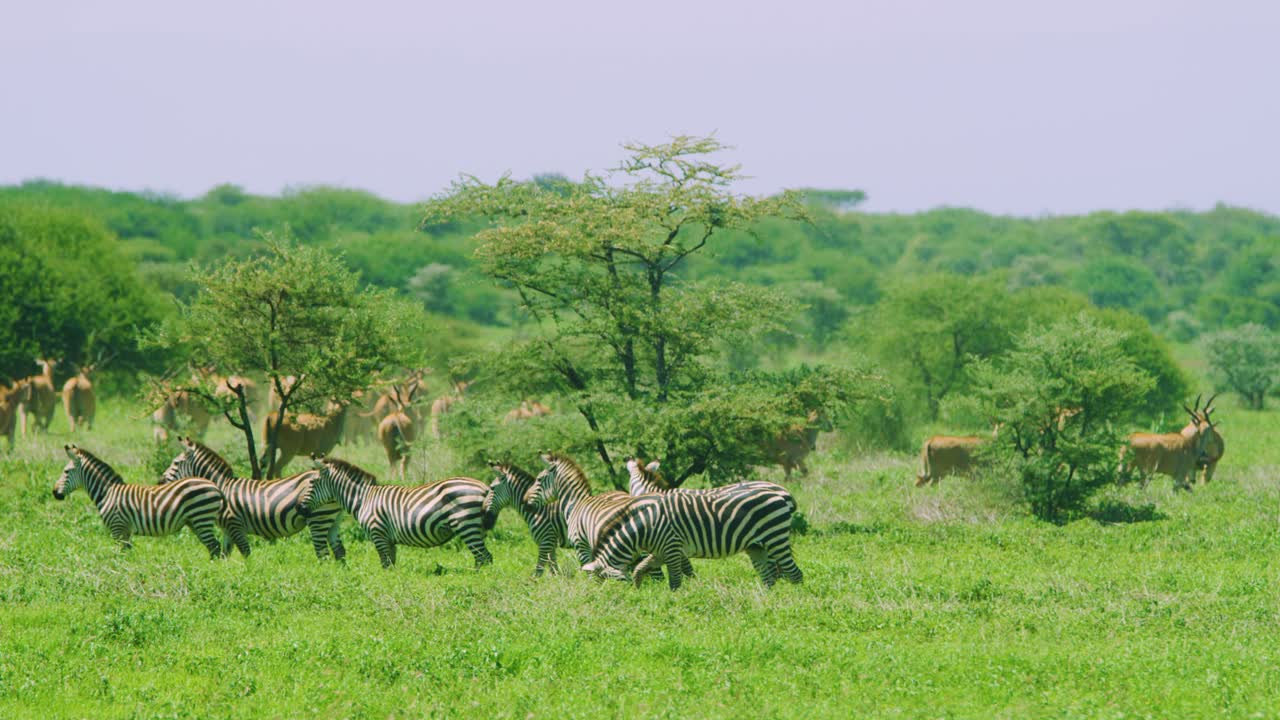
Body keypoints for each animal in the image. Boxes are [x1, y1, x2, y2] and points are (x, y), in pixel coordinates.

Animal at [52, 444, 226, 559]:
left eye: (66, 472)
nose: (54, 493)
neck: (107, 493)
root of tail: (215, 486)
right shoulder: (125, 531)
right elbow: (127, 555)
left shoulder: (118, 528)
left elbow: (121, 555)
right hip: (195, 521)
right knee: (214, 546)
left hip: (201, 517)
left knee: (215, 546)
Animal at [158, 436, 346, 560]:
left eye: (175, 463)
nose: (159, 482)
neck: (221, 487)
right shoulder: (227, 528)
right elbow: (225, 555)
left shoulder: (235, 525)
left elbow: (246, 553)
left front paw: (249, 575)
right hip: (332, 520)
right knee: (340, 551)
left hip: (318, 518)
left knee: (323, 553)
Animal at [299, 455, 494, 569]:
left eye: (312, 483)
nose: (300, 508)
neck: (364, 499)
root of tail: (484, 487)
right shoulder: (388, 539)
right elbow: (391, 565)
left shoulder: (377, 533)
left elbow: (385, 564)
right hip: (476, 528)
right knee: (482, 558)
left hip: (466, 524)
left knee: (485, 557)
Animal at [581, 457, 804, 590]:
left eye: (600, 580)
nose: (595, 598)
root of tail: (784, 493)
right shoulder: (665, 550)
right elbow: (644, 568)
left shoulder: (673, 547)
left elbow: (679, 577)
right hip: (758, 544)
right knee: (772, 573)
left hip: (774, 536)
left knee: (791, 572)